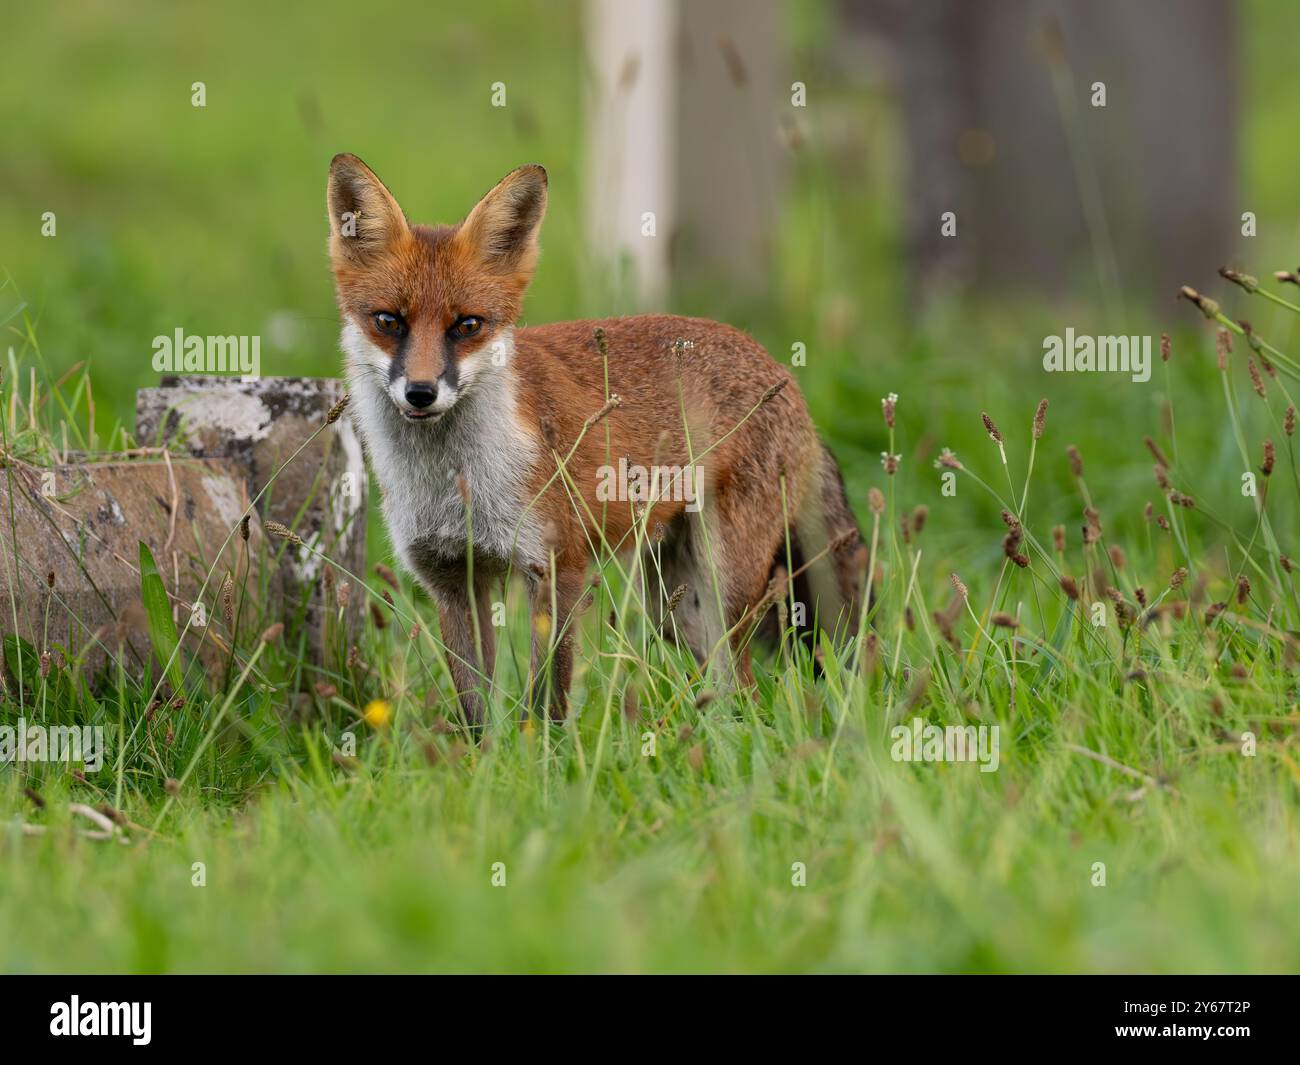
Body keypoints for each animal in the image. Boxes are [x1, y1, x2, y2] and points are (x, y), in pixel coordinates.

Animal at [326, 153, 863, 728]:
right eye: (388, 321)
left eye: (467, 325)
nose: (421, 392)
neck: (456, 484)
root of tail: (783, 374)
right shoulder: (451, 580)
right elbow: (475, 712)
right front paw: (485, 751)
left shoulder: (557, 569)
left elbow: (548, 700)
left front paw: (542, 751)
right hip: (674, 605)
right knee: (724, 688)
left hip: (724, 585)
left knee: (743, 684)